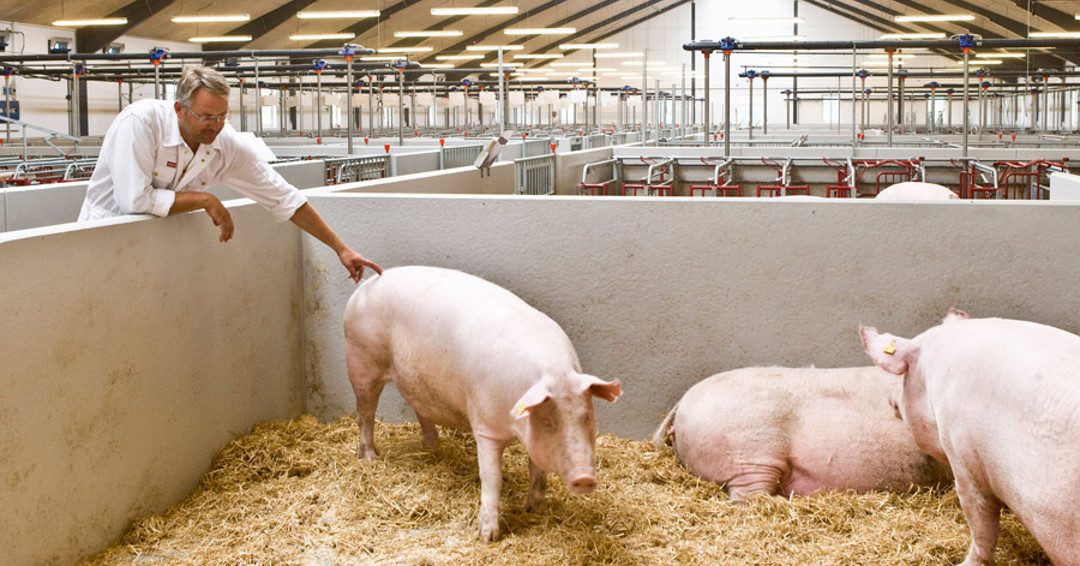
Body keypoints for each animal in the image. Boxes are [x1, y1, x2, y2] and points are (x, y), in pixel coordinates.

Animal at [343, 266, 621, 542]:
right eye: (549, 422)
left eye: (586, 416)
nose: (585, 478)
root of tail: (364, 286)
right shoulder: (485, 427)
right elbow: (492, 477)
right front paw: (488, 537)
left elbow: (537, 468)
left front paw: (536, 509)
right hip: (362, 365)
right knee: (365, 415)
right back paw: (370, 458)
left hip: (414, 380)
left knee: (418, 408)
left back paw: (433, 449)